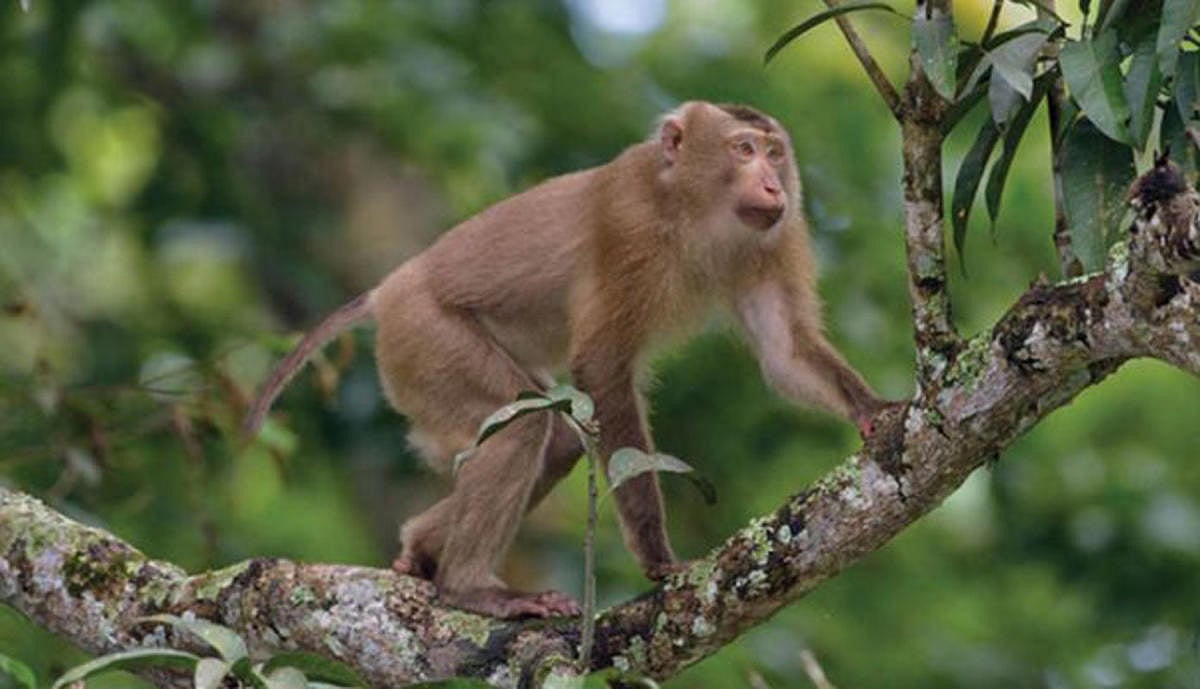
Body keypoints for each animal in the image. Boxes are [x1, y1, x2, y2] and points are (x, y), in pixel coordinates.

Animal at [244, 101, 888, 619]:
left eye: (776, 154)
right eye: (744, 149)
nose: (775, 186)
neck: (693, 208)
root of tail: (388, 289)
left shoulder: (776, 238)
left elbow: (784, 352)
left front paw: (873, 410)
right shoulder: (629, 227)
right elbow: (602, 366)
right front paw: (657, 555)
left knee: (553, 440)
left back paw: (422, 546)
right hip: (426, 339)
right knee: (522, 427)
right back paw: (469, 589)